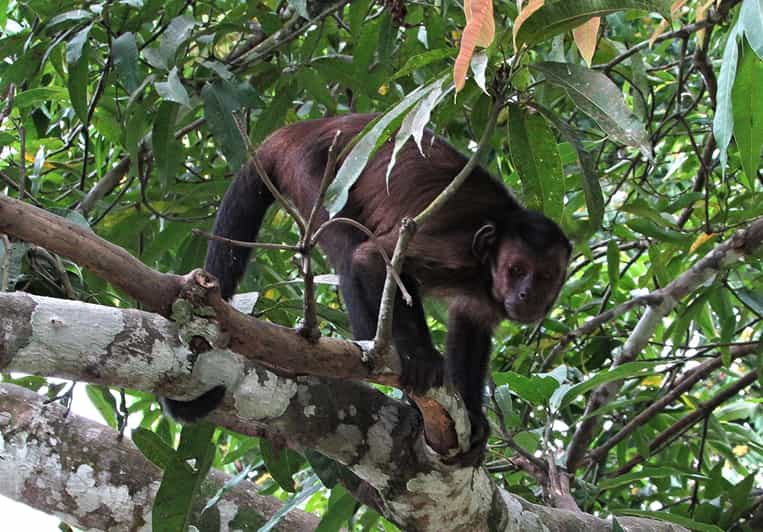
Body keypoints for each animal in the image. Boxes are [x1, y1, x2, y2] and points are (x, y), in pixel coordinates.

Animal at [162, 113, 571, 460]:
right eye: (516, 269)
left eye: (545, 276)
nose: (527, 294)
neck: (486, 264)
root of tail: (298, 129)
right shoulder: (457, 250)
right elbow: (372, 258)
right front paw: (418, 355)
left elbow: (471, 324)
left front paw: (472, 415)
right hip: (314, 168)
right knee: (348, 248)